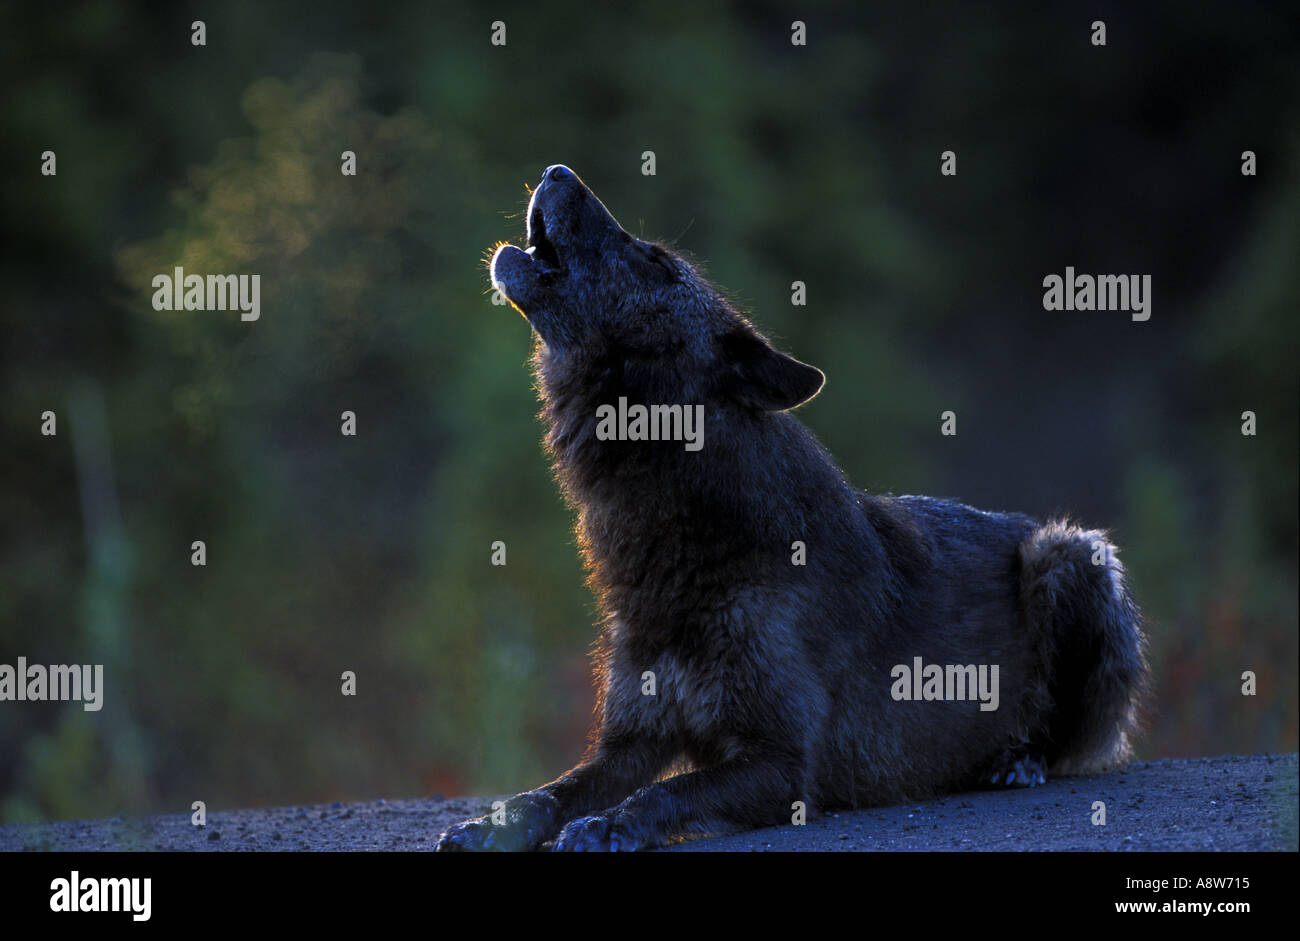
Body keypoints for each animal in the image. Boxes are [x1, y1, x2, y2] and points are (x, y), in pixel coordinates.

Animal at [435, 165, 1148, 851]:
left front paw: (608, 827)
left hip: (1068, 553)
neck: (682, 537)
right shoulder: (629, 743)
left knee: (1067, 740)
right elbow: (550, 793)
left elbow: (663, 794)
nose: (556, 170)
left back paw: (1018, 760)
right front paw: (490, 824)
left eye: (656, 261)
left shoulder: (785, 766)